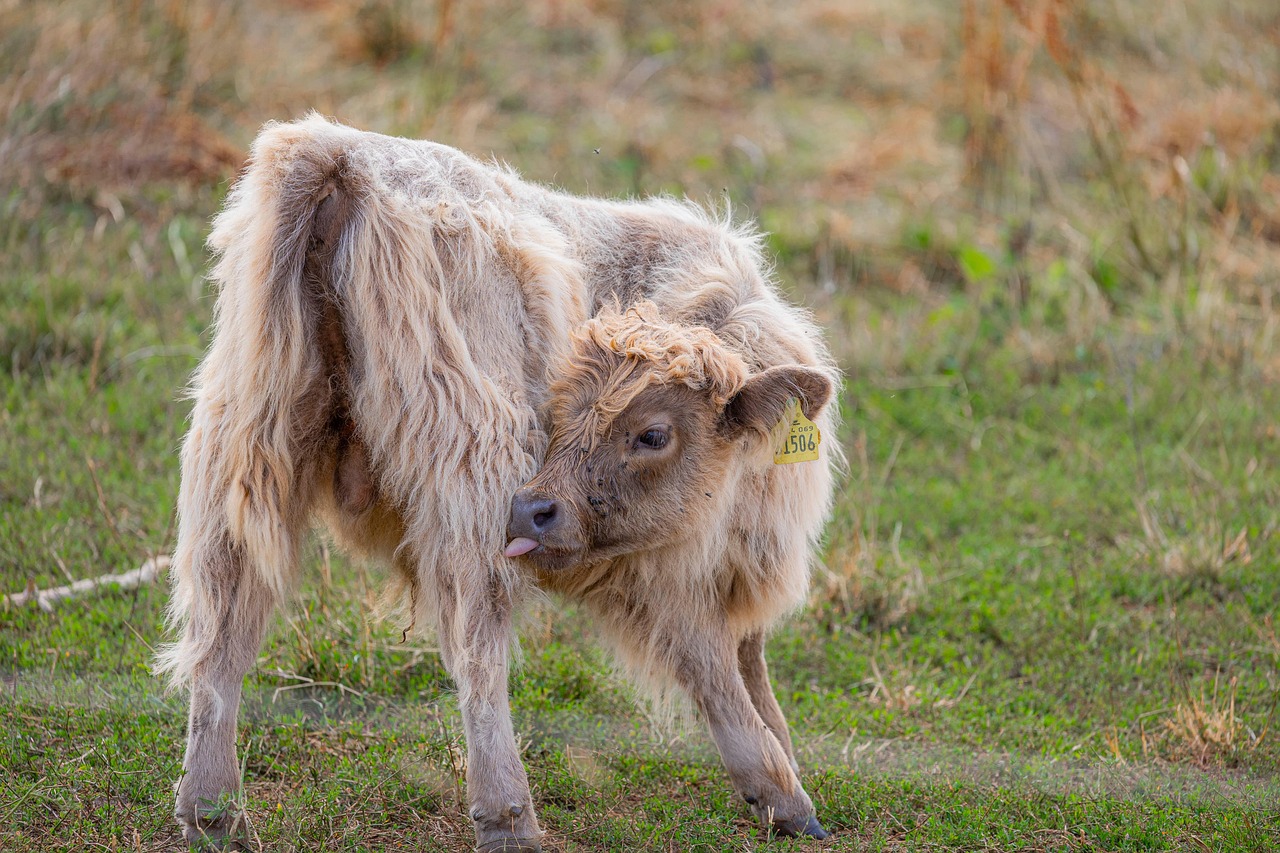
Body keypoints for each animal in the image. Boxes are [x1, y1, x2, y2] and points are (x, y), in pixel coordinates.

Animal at [157, 114, 837, 851]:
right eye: (564, 410)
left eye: (651, 434)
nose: (539, 508)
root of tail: (339, 151)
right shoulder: (661, 571)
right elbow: (714, 666)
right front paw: (783, 792)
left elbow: (751, 667)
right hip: (472, 470)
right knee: (475, 645)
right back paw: (509, 815)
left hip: (245, 444)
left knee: (223, 625)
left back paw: (213, 812)